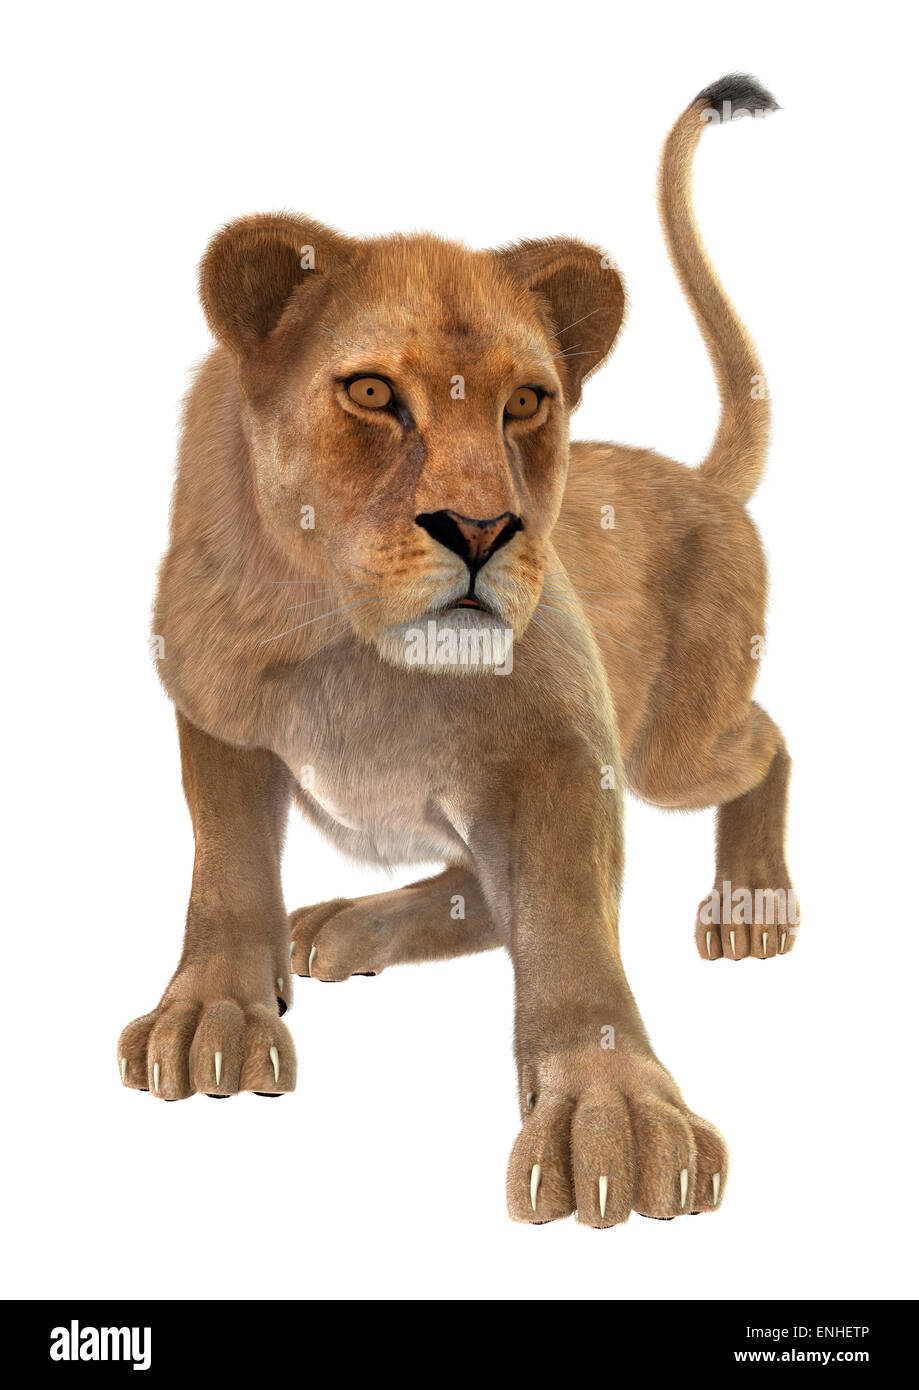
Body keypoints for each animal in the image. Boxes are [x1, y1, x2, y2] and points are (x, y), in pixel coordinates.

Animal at [118, 74, 795, 1227]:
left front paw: (610, 1123)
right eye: (371, 393)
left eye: (527, 401)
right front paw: (212, 1012)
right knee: (474, 884)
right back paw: (339, 927)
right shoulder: (214, 706)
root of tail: (698, 481)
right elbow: (226, 869)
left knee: (765, 743)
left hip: (673, 750)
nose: (481, 529)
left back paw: (751, 900)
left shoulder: (567, 757)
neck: (354, 653)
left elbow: (572, 939)